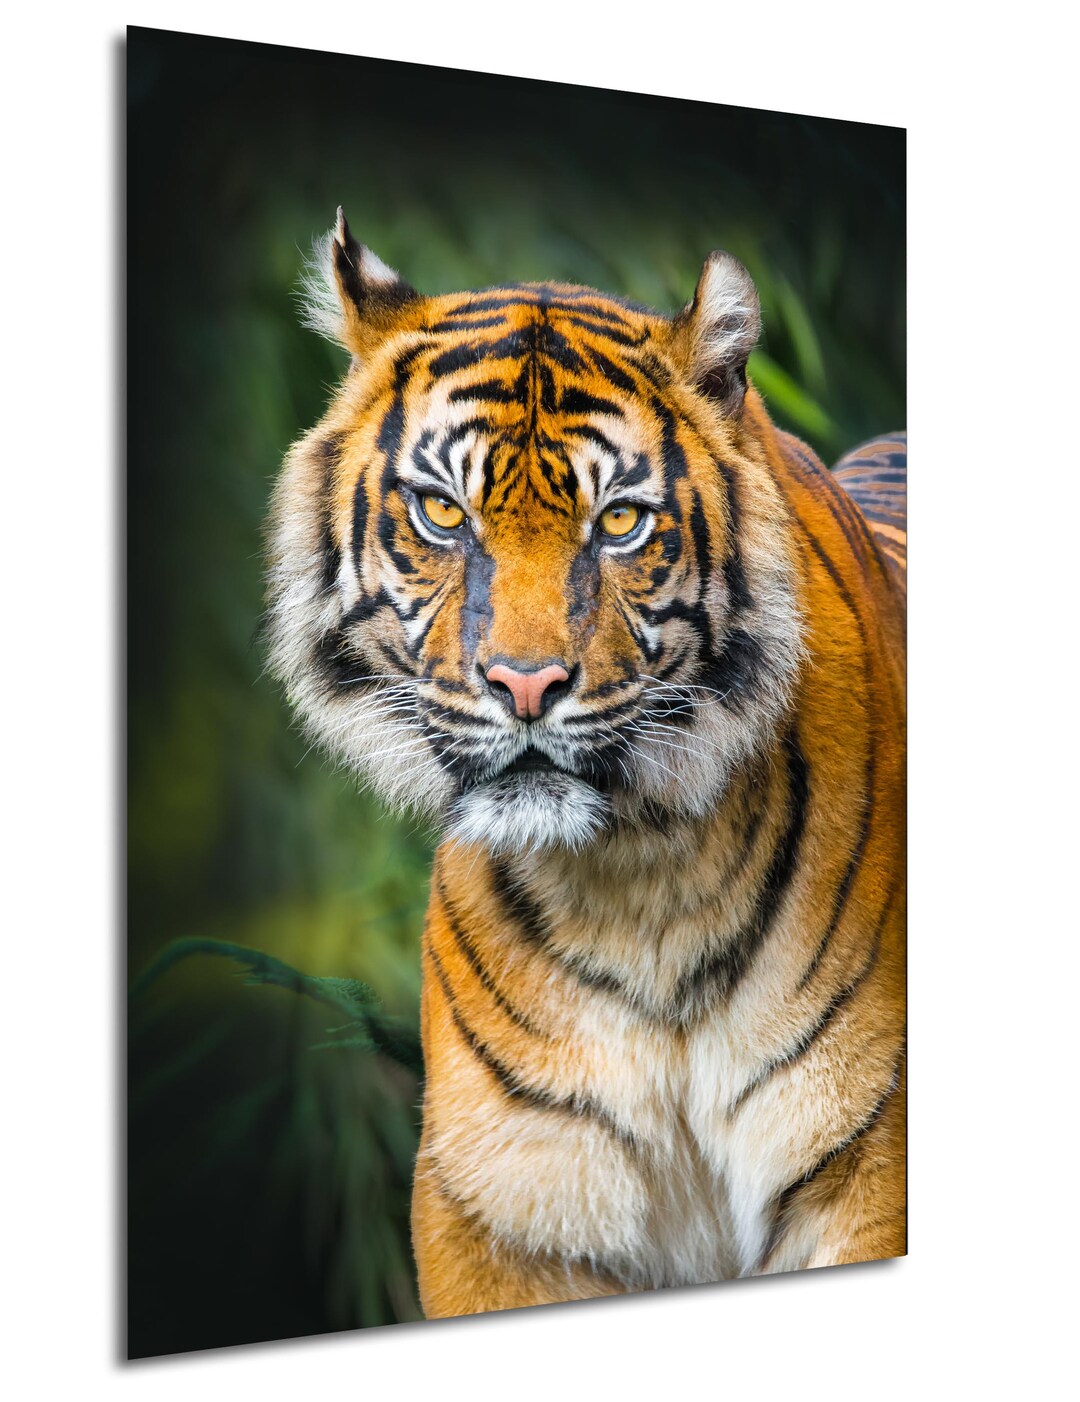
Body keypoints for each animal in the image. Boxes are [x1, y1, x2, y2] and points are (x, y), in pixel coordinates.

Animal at [265, 208, 906, 1319]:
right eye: (444, 512)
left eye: (620, 521)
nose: (525, 686)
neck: (643, 881)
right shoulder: (504, 1208)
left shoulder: (870, 1171)